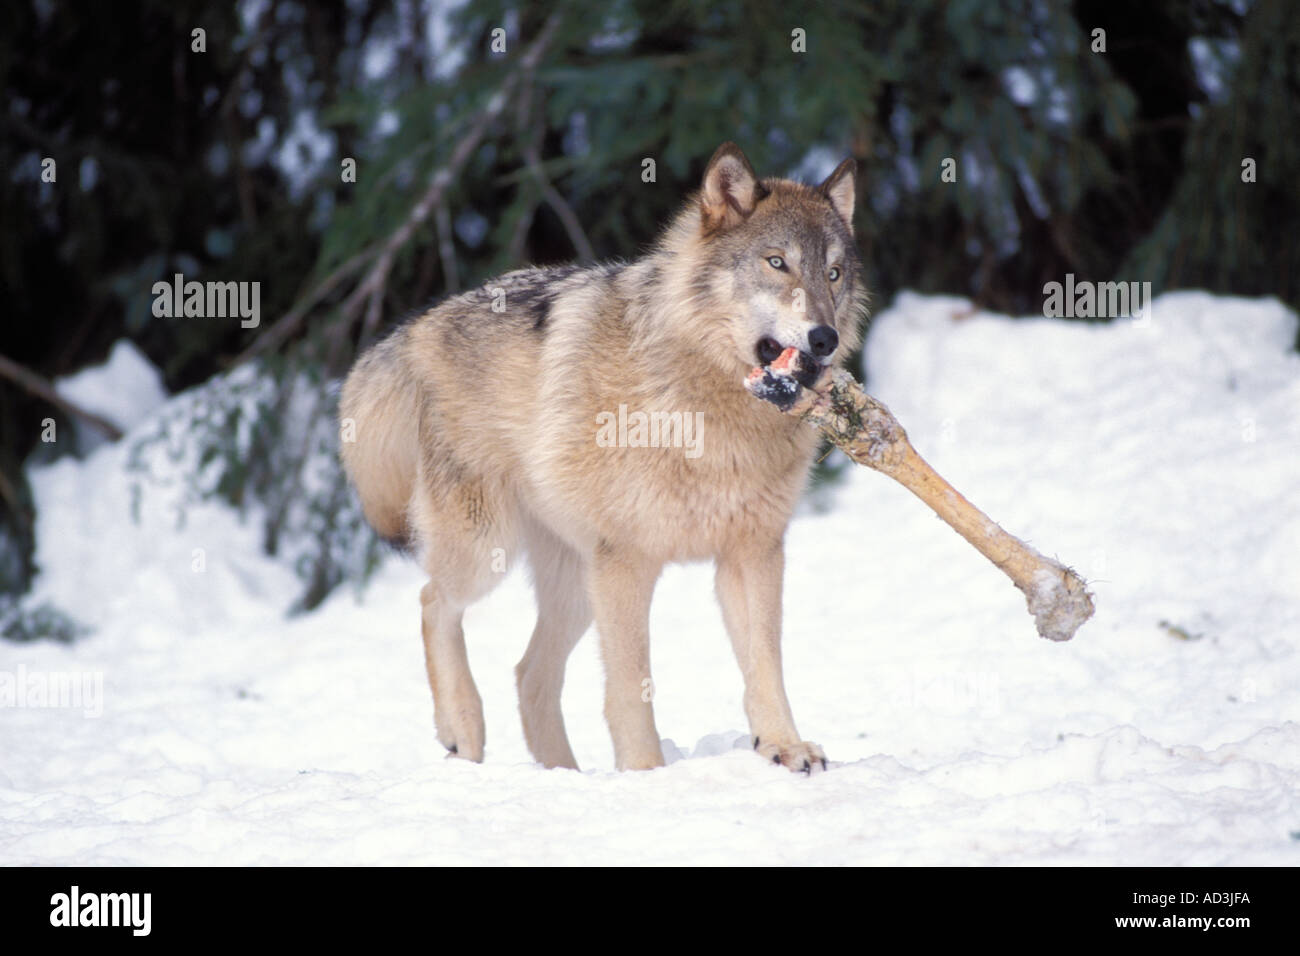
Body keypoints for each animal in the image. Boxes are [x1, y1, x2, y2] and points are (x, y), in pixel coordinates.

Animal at [339, 142, 865, 772]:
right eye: (776, 263)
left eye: (833, 274)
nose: (824, 338)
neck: (705, 409)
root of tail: (419, 327)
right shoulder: (627, 564)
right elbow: (630, 687)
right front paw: (645, 773)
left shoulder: (753, 553)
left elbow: (765, 665)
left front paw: (784, 746)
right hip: (491, 551)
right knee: (432, 602)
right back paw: (462, 727)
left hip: (573, 586)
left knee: (528, 673)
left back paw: (560, 773)